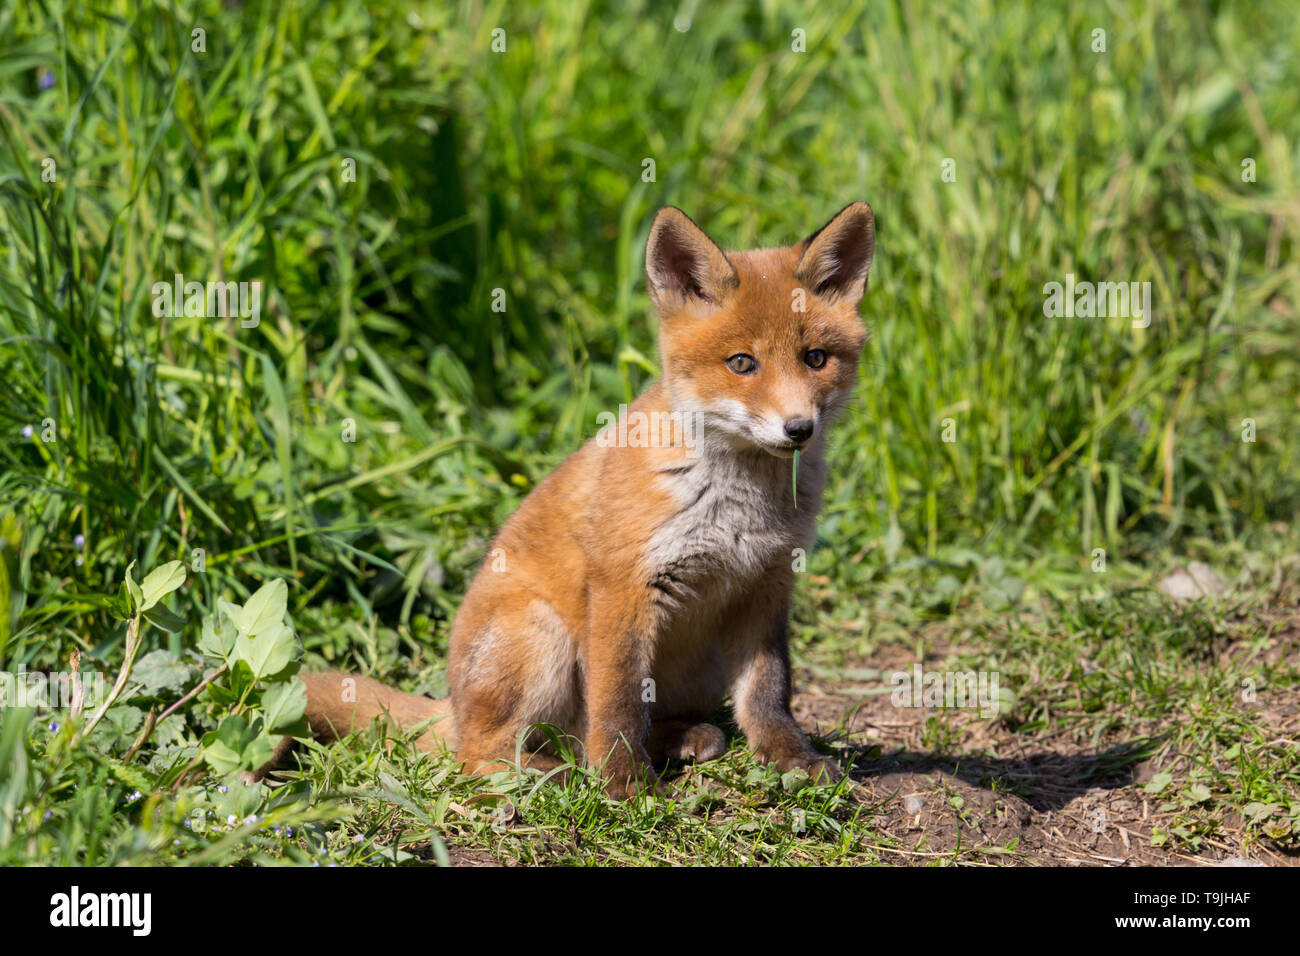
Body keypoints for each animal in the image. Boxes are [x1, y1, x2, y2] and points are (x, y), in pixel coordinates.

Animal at [286, 201, 876, 797]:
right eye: (741, 364)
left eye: (816, 358)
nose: (799, 429)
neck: (737, 505)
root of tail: (450, 705)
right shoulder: (624, 587)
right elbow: (618, 703)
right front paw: (624, 785)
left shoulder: (767, 584)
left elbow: (768, 693)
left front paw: (791, 758)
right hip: (541, 639)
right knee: (482, 755)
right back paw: (558, 774)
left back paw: (677, 741)